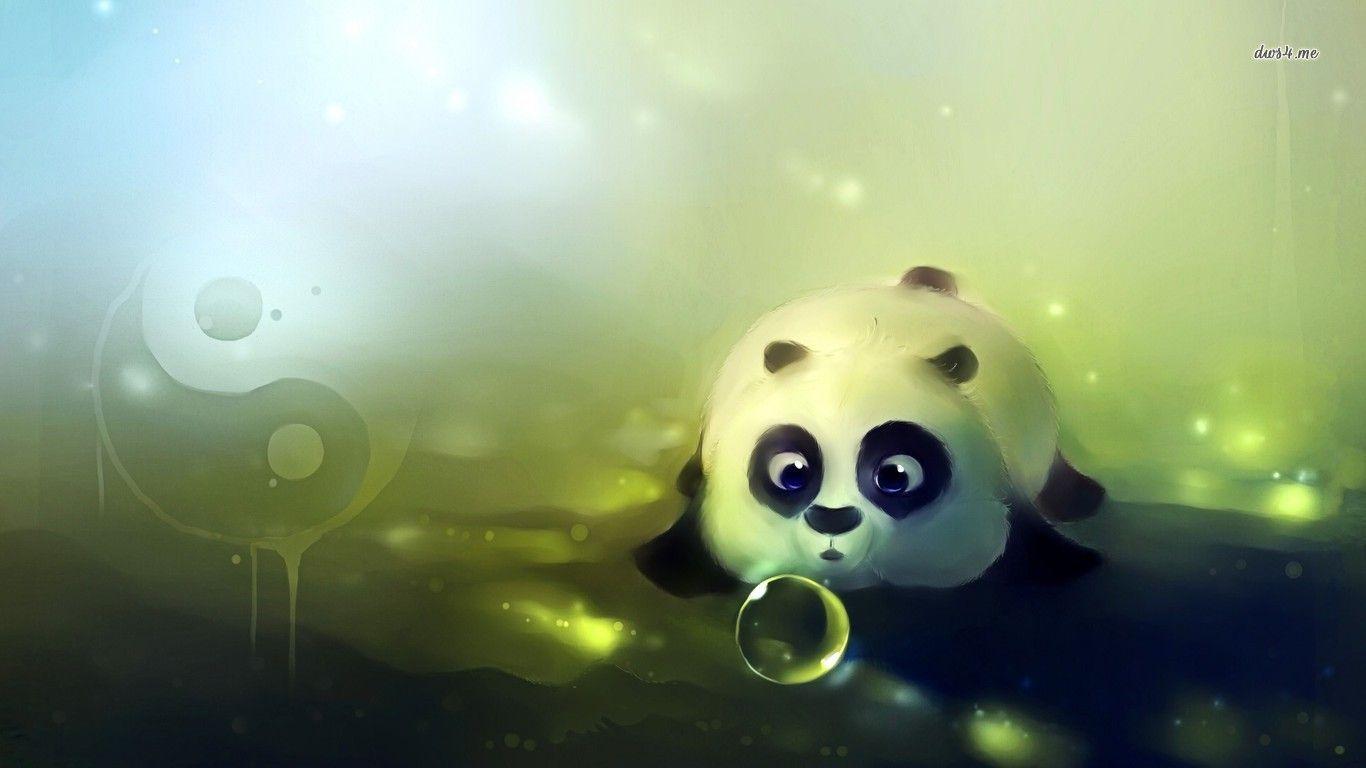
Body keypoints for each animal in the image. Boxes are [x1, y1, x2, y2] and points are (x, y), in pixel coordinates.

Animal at [636, 266, 1105, 596]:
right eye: (791, 473)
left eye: (894, 475)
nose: (832, 518)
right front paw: (665, 568)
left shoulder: (997, 483)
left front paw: (1070, 562)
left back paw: (1082, 499)